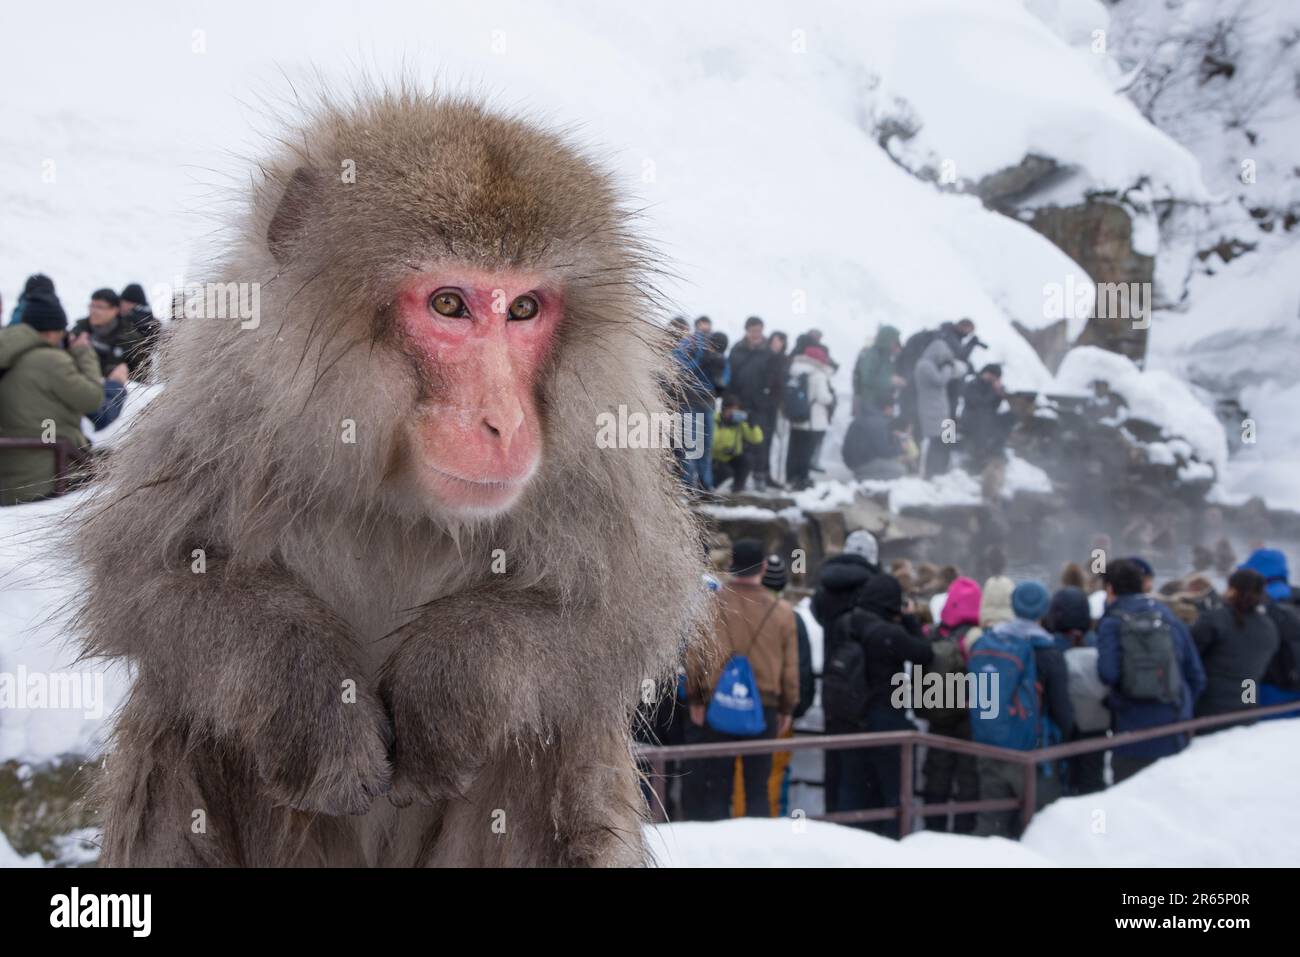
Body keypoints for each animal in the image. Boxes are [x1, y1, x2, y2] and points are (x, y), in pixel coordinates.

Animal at [72, 86, 711, 867]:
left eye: (525, 309)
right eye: (449, 304)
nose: (505, 422)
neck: (399, 499)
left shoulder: (595, 462)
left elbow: (628, 605)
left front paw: (451, 678)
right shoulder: (226, 412)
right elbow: (143, 574)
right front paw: (317, 700)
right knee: (184, 712)